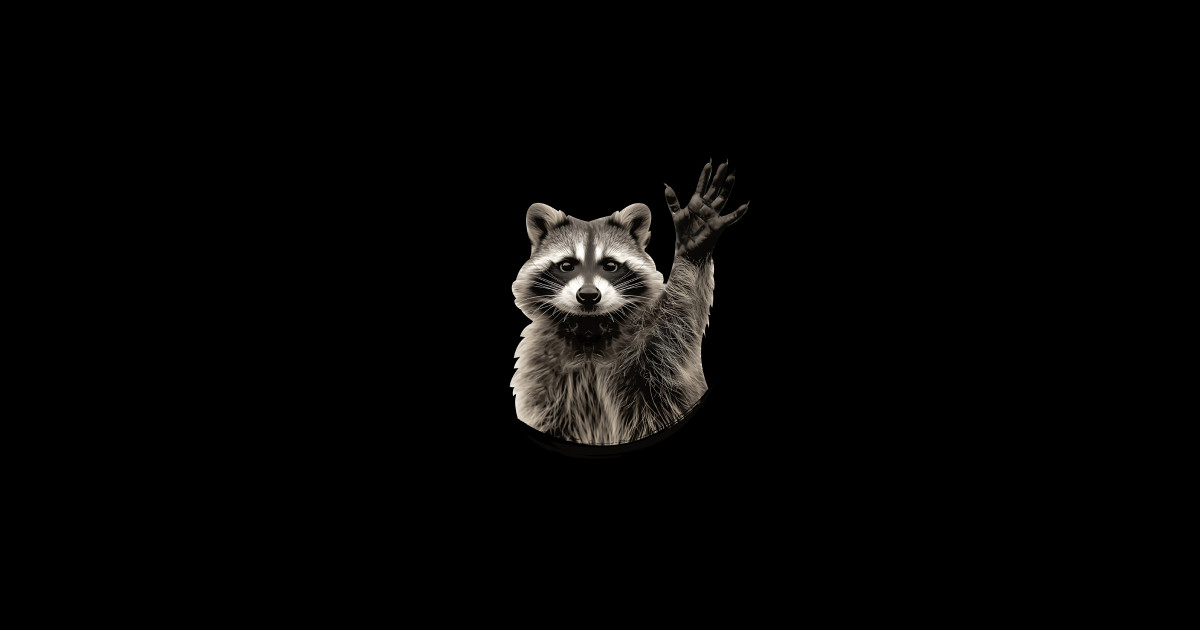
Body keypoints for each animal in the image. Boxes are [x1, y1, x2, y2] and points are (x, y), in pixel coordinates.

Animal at [511, 160, 749, 445]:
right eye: (566, 265)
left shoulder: (658, 353)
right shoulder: (541, 366)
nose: (588, 295)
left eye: (610, 265)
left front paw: (694, 239)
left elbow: (680, 317)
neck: (590, 329)